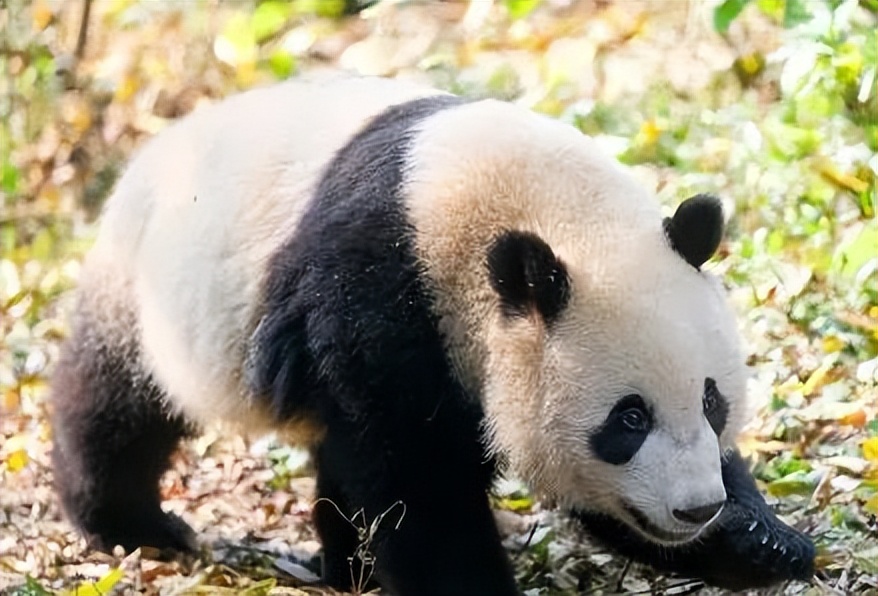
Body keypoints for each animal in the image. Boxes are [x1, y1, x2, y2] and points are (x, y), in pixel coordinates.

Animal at [50, 74, 814, 595]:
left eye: (713, 402)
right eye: (628, 419)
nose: (697, 507)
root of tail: (154, 148)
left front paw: (765, 543)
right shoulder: (383, 296)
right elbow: (416, 481)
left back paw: (342, 565)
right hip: (151, 291)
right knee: (116, 402)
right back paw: (131, 523)